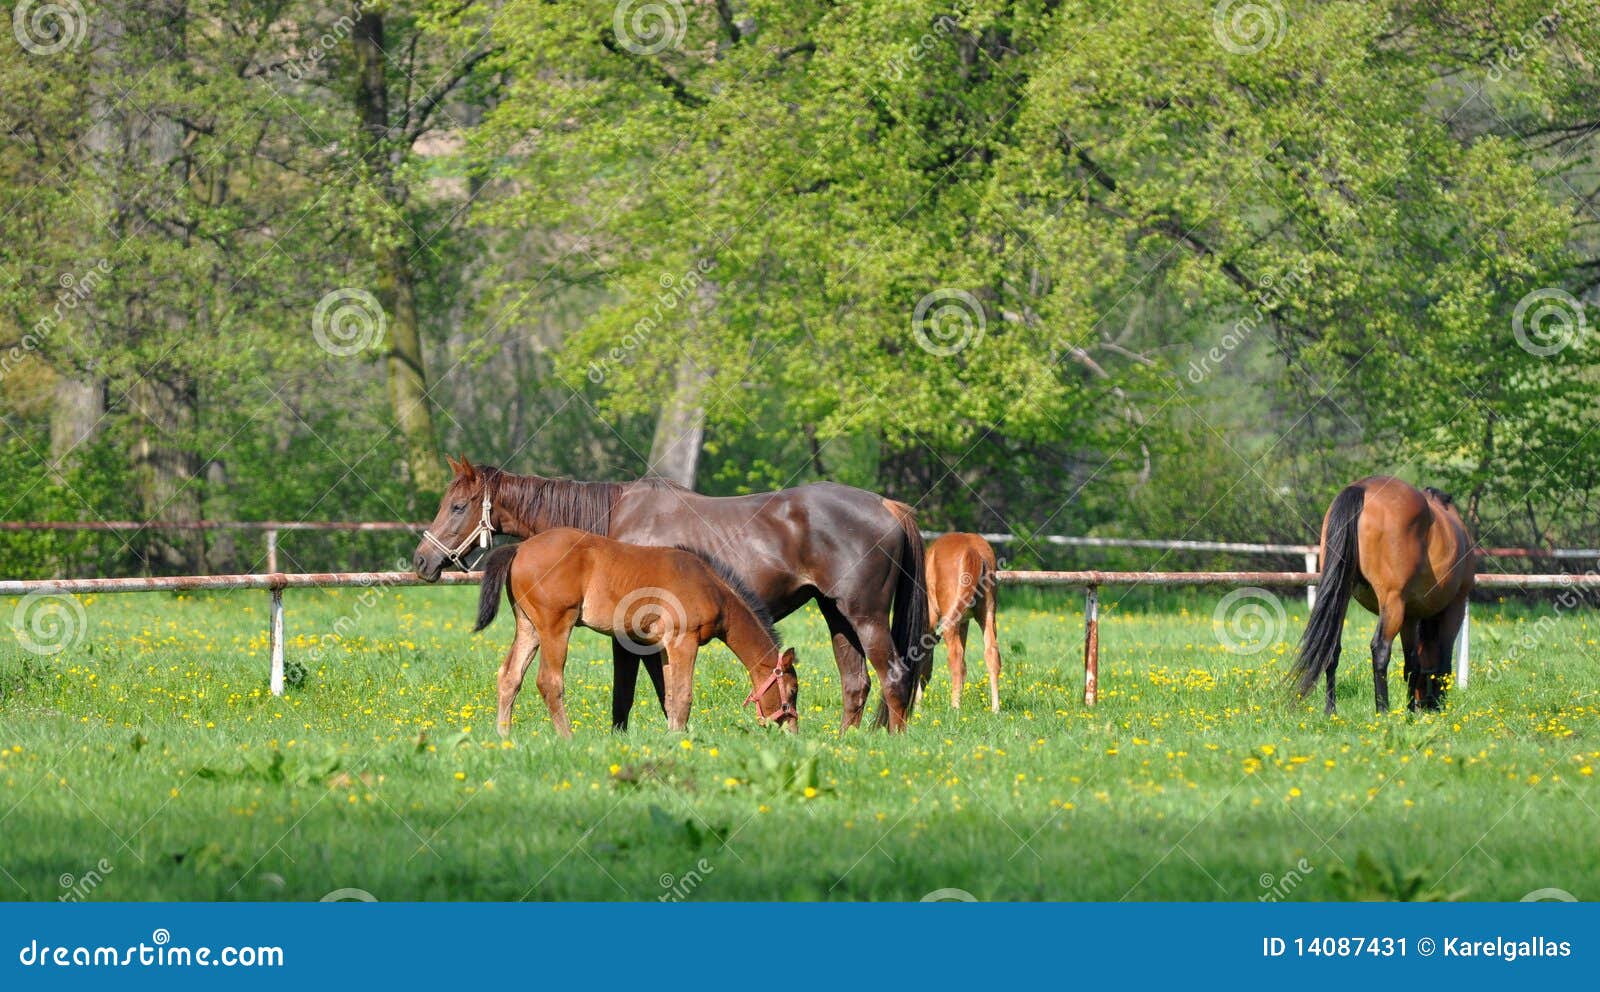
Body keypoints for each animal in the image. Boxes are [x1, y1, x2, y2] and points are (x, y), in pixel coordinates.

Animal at [473, 529, 799, 737]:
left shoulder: (666, 646)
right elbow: (683, 695)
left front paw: (674, 737)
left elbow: (669, 695)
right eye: (793, 690)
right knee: (549, 682)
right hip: (555, 627)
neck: (712, 587)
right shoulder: (685, 640)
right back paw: (567, 738)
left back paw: (504, 737)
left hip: (528, 627)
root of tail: (518, 548)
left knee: (509, 676)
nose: (792, 731)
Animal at [917, 532, 1002, 712]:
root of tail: (973, 550)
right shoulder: (964, 623)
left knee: (956, 657)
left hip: (950, 621)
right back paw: (995, 709)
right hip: (987, 615)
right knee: (991, 653)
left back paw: (955, 707)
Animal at [1289, 476, 1476, 714]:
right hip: (1392, 602)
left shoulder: (1410, 616)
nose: (1425, 705)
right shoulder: (1455, 607)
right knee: (1380, 649)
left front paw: (1410, 711)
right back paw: (1383, 710)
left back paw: (1331, 711)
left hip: (1344, 596)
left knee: (1332, 650)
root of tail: (1362, 487)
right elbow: (1442, 662)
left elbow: (1412, 662)